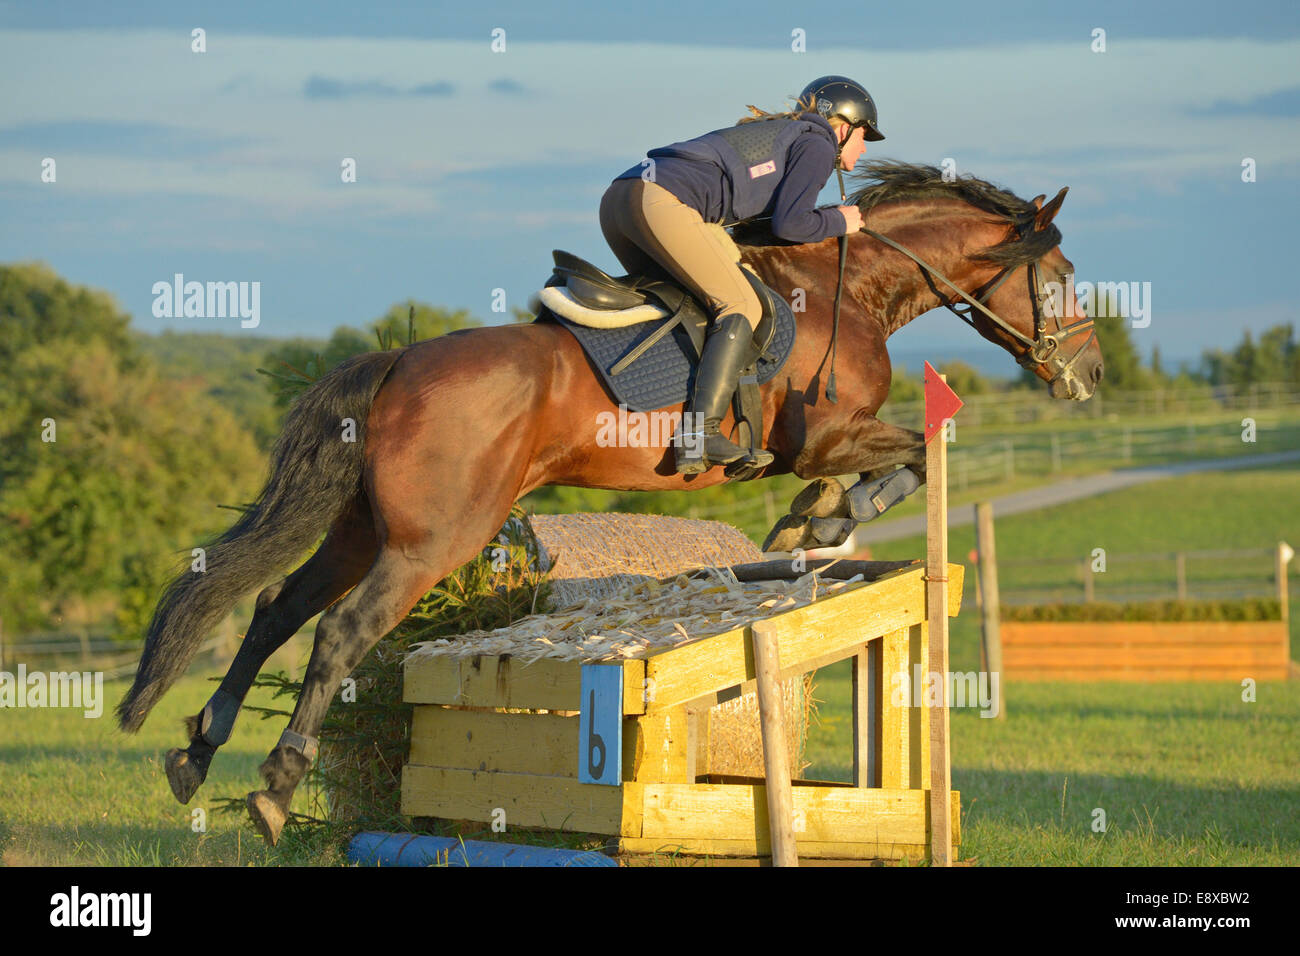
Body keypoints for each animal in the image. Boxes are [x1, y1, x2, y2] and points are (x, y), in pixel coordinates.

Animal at [116, 161, 1103, 844]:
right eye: (1060, 277)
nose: (1088, 374)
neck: (850, 289)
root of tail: (398, 362)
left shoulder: (831, 442)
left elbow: (901, 462)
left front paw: (811, 521)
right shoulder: (827, 435)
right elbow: (921, 455)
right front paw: (825, 519)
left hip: (365, 530)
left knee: (274, 610)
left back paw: (197, 751)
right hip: (433, 538)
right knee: (340, 631)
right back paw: (275, 788)